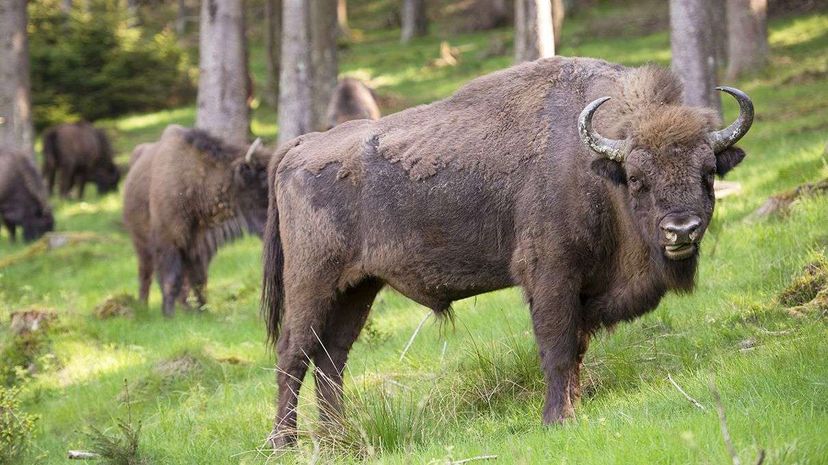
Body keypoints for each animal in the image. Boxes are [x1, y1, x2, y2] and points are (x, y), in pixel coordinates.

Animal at [123, 125, 272, 318]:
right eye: (262, 180)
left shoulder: (199, 247)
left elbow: (198, 279)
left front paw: (202, 309)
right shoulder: (169, 241)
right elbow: (172, 278)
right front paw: (169, 314)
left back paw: (185, 307)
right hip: (141, 244)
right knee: (145, 274)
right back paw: (143, 306)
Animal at [262, 56, 752, 444]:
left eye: (708, 171)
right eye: (636, 178)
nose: (681, 230)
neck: (592, 166)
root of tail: (300, 146)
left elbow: (576, 347)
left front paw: (573, 408)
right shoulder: (551, 276)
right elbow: (556, 346)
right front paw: (557, 419)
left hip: (358, 288)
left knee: (331, 358)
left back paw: (338, 439)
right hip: (313, 284)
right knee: (293, 354)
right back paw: (284, 444)